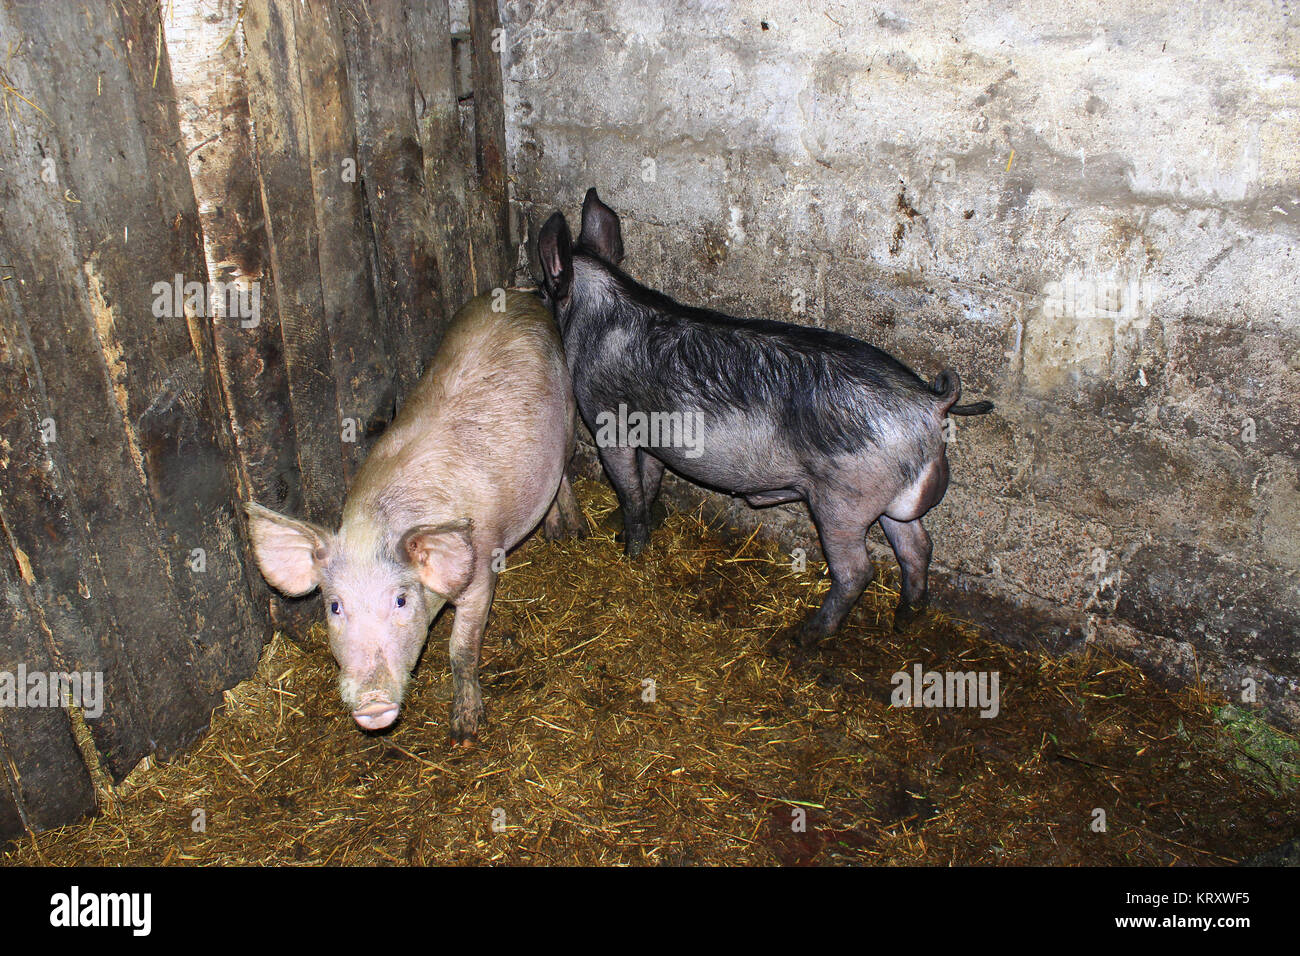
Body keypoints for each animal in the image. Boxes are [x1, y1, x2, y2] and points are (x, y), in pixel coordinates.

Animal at [245, 289, 583, 742]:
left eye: (401, 600)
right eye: (335, 607)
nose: (373, 701)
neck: (377, 525)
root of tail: (518, 295)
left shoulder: (481, 571)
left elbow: (461, 650)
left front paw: (465, 730)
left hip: (566, 413)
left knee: (563, 469)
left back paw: (571, 532)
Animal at [537, 189, 993, 648]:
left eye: (543, 292)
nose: (534, 296)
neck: (597, 320)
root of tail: (927, 402)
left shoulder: (609, 422)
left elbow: (629, 491)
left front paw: (630, 551)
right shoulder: (651, 435)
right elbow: (648, 483)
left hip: (844, 501)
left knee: (858, 571)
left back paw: (803, 637)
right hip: (889, 498)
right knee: (918, 547)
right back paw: (906, 619)